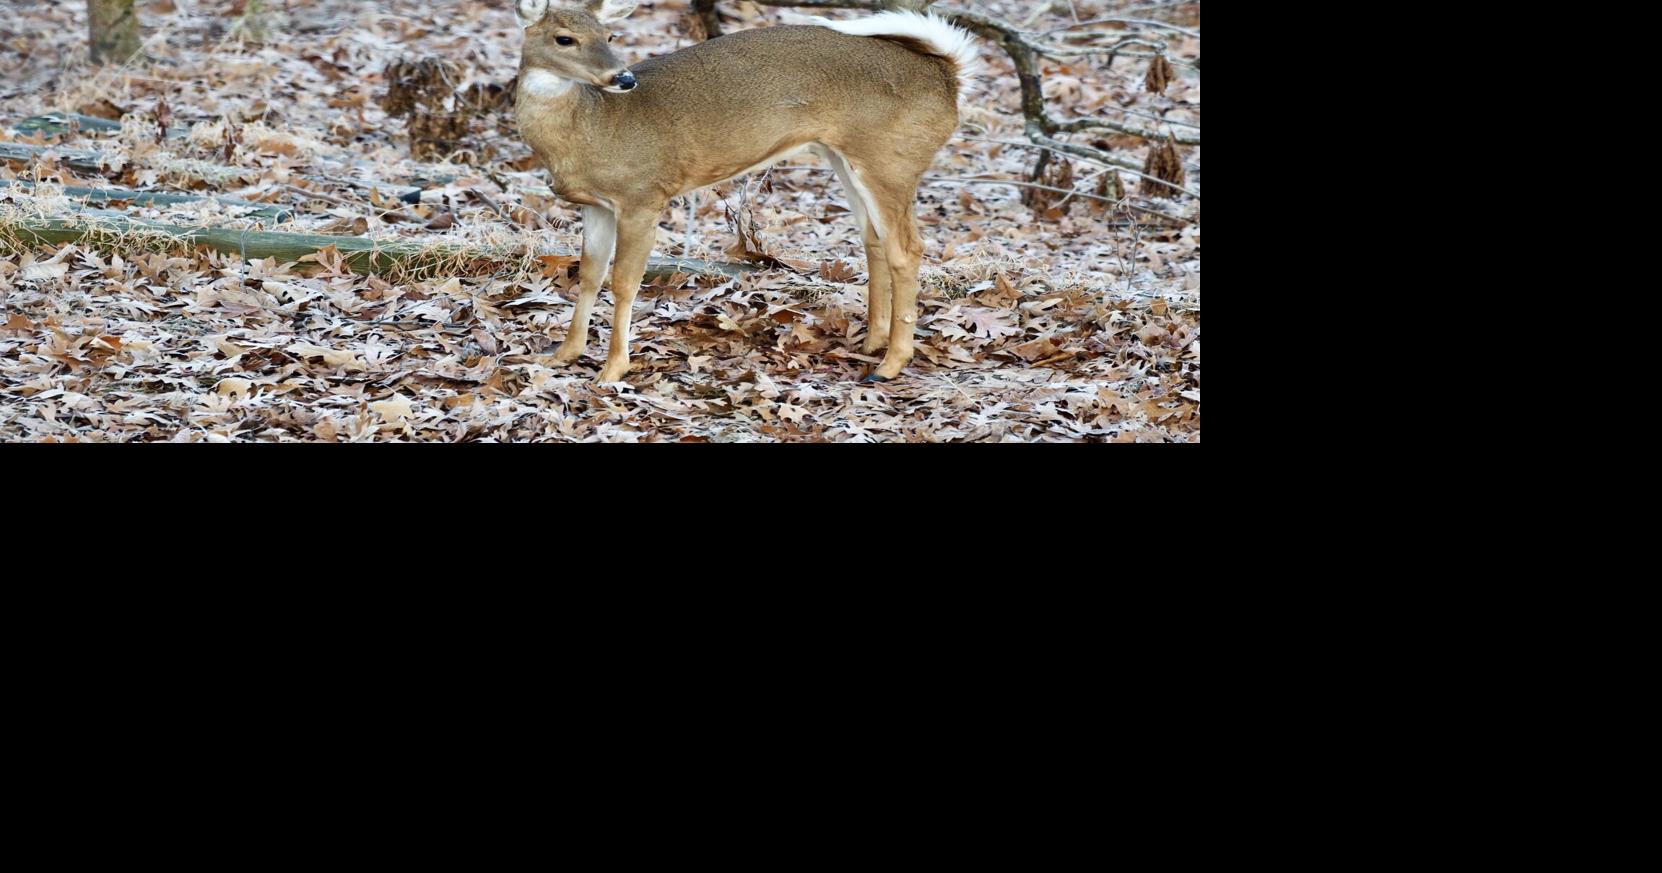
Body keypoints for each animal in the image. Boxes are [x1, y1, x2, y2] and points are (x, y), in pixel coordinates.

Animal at [512, 0, 981, 383]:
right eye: (565, 38)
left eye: (609, 35)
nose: (623, 77)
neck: (593, 128)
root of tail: (948, 77)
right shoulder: (595, 205)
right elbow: (589, 273)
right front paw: (563, 354)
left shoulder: (644, 197)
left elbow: (624, 282)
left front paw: (612, 370)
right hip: (846, 159)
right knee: (874, 238)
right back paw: (872, 343)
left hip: (891, 159)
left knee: (908, 248)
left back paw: (890, 364)